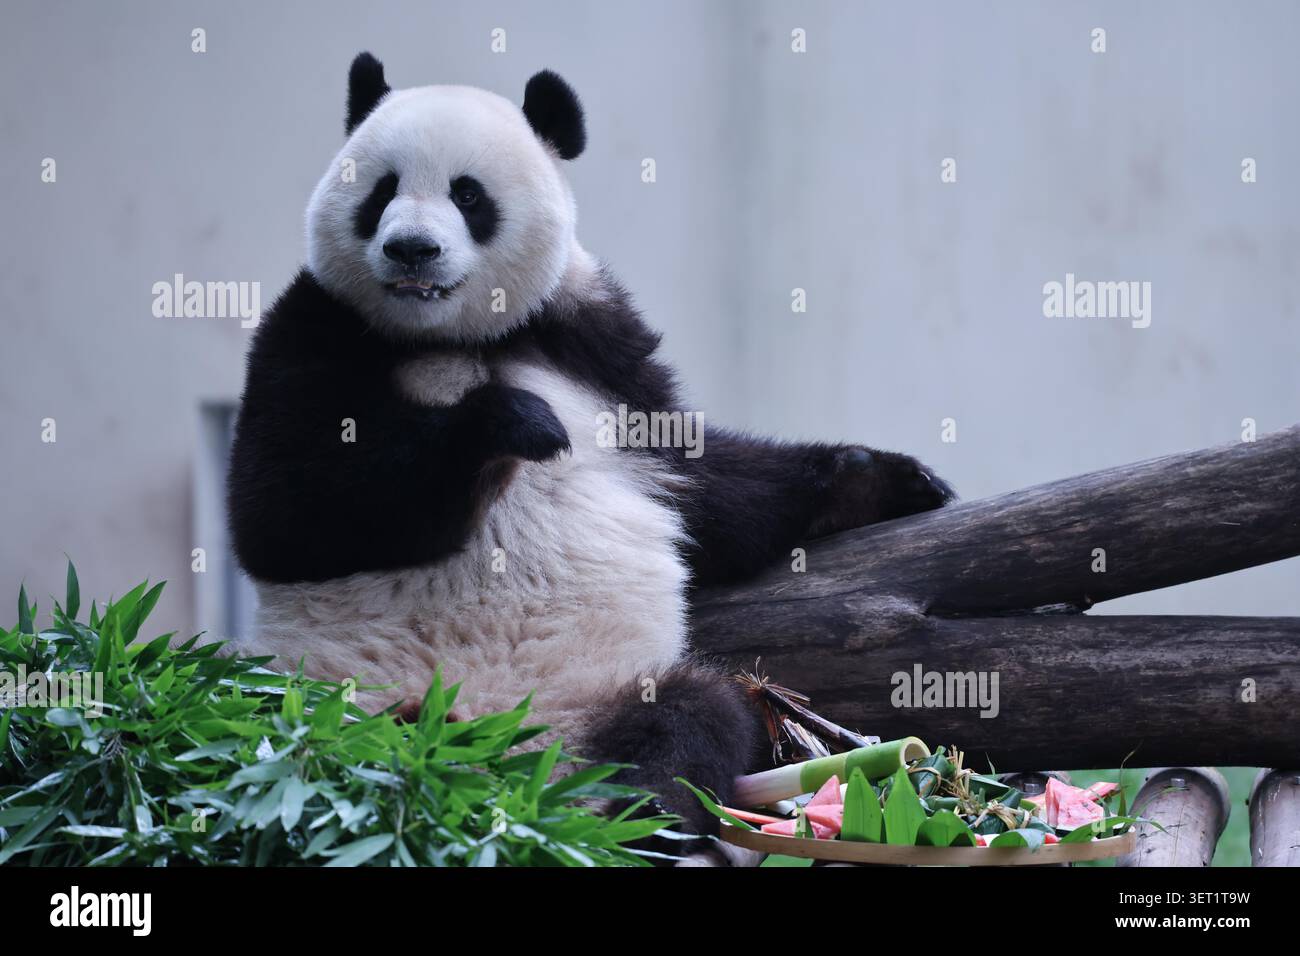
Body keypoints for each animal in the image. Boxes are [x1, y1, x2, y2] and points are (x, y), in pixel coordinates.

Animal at [226, 52, 954, 848]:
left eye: (467, 194)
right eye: (382, 190)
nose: (410, 247)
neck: (452, 338)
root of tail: (512, 773)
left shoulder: (599, 344)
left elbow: (708, 487)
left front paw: (891, 481)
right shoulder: (312, 326)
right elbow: (285, 510)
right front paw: (511, 425)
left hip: (604, 698)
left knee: (696, 718)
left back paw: (637, 815)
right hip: (310, 703)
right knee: (294, 733)